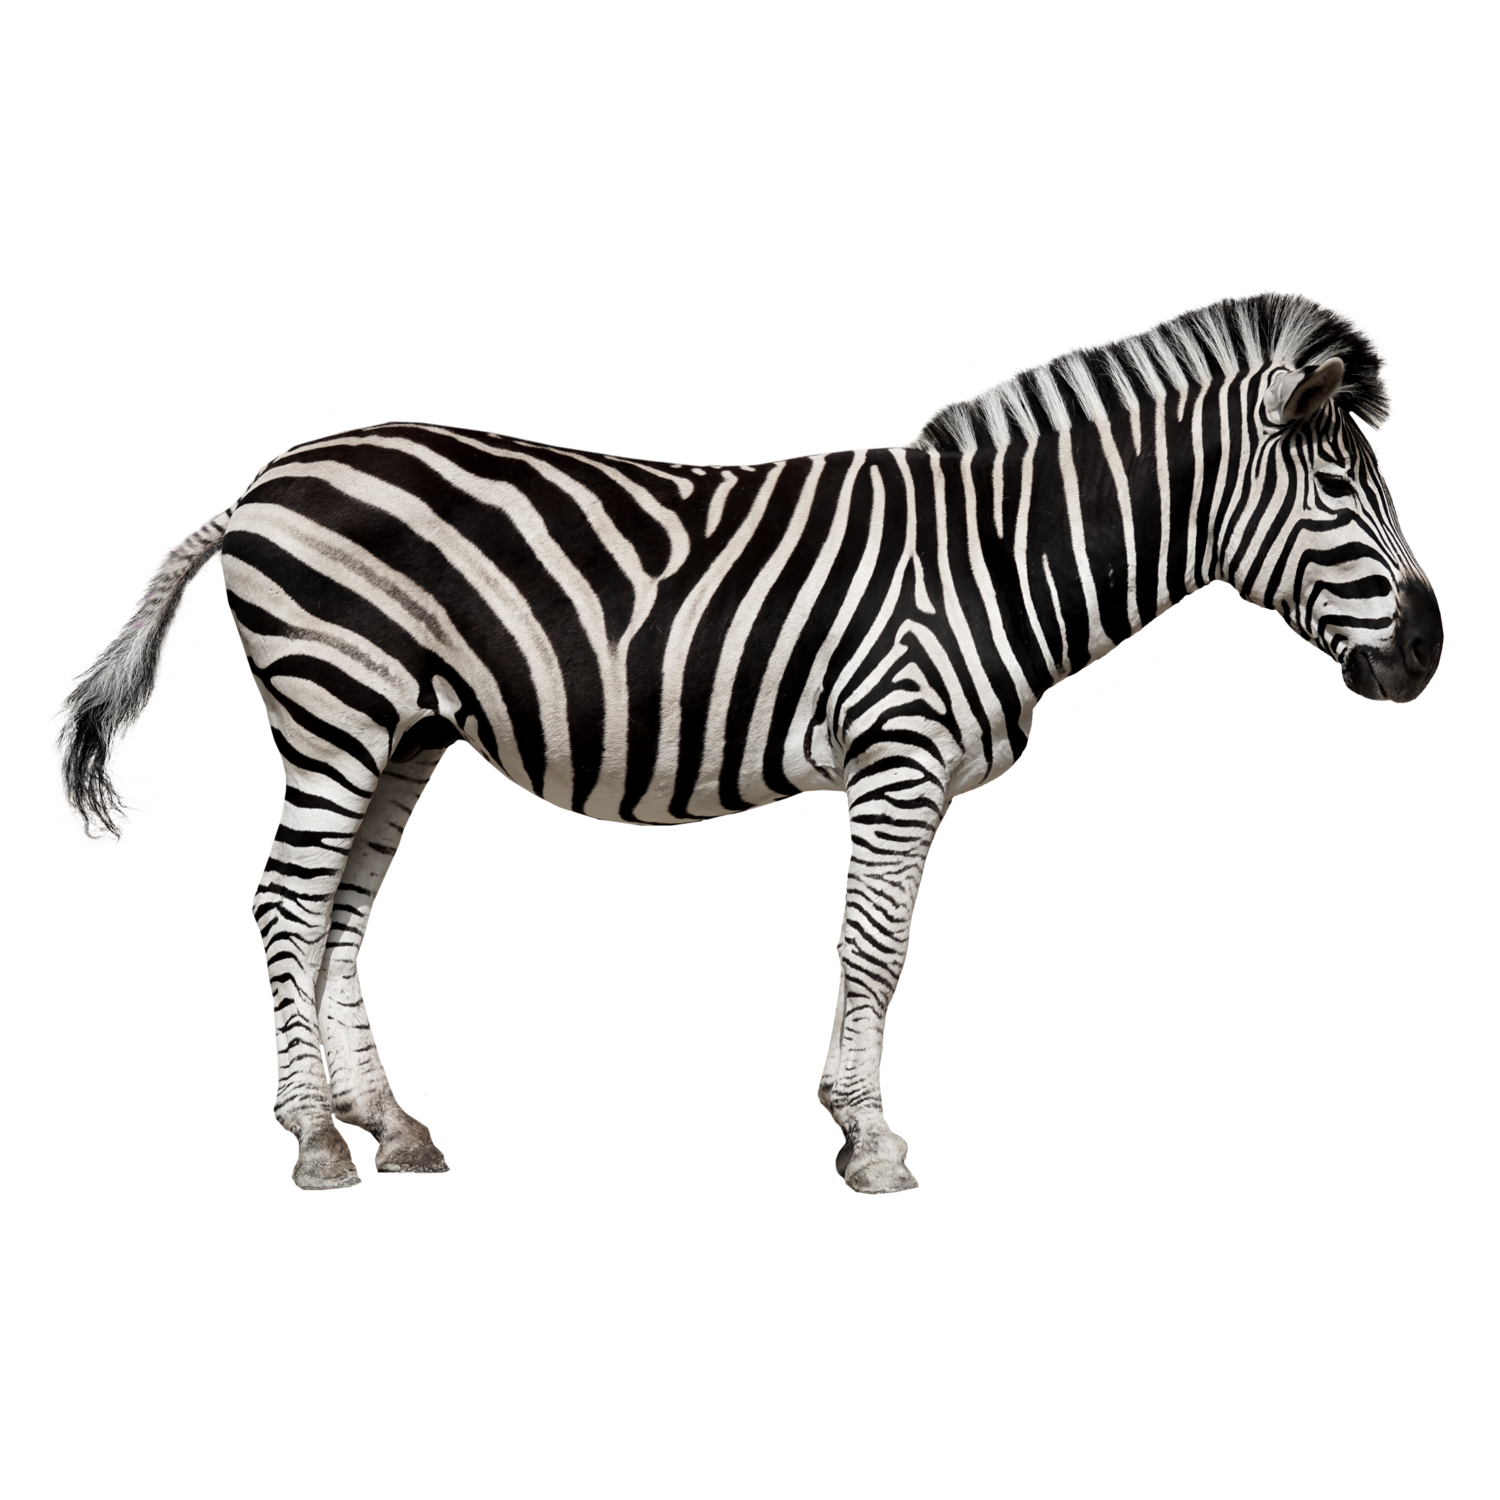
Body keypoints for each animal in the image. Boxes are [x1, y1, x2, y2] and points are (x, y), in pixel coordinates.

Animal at [43, 288, 1444, 1195]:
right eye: (1337, 489)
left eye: (1376, 482)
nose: (1431, 653)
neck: (1000, 553)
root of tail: (257, 487)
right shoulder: (898, 753)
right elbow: (875, 953)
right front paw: (869, 1143)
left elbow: (882, 952)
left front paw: (857, 1126)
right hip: (337, 701)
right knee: (286, 906)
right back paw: (319, 1147)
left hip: (404, 731)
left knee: (340, 917)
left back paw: (391, 1133)